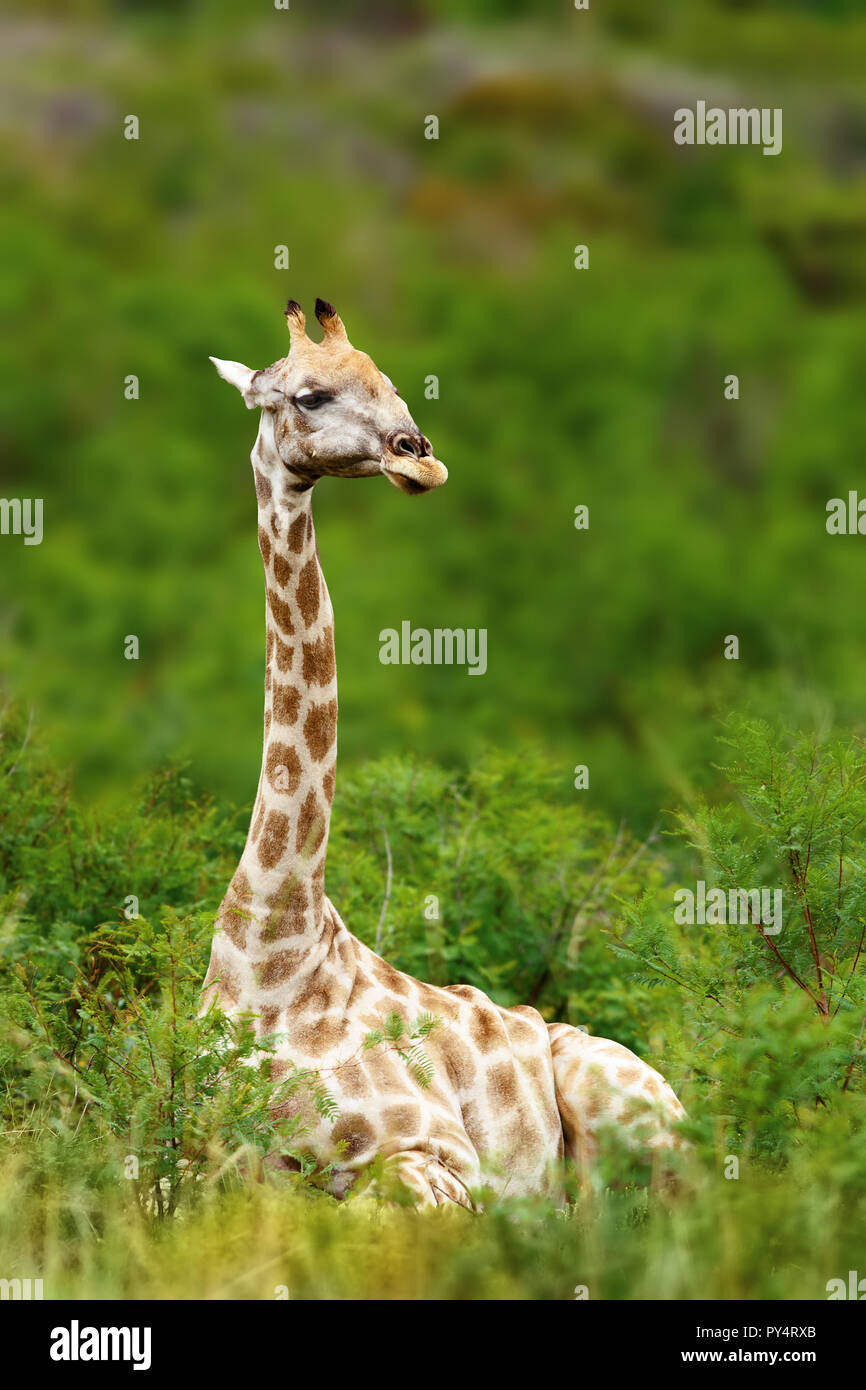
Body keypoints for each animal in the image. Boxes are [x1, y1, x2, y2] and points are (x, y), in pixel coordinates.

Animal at [203, 298, 686, 1209]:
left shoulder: (436, 1154)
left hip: (631, 1112)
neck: (272, 959)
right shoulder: (177, 1162)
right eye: (309, 395)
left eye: (393, 383)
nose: (418, 456)